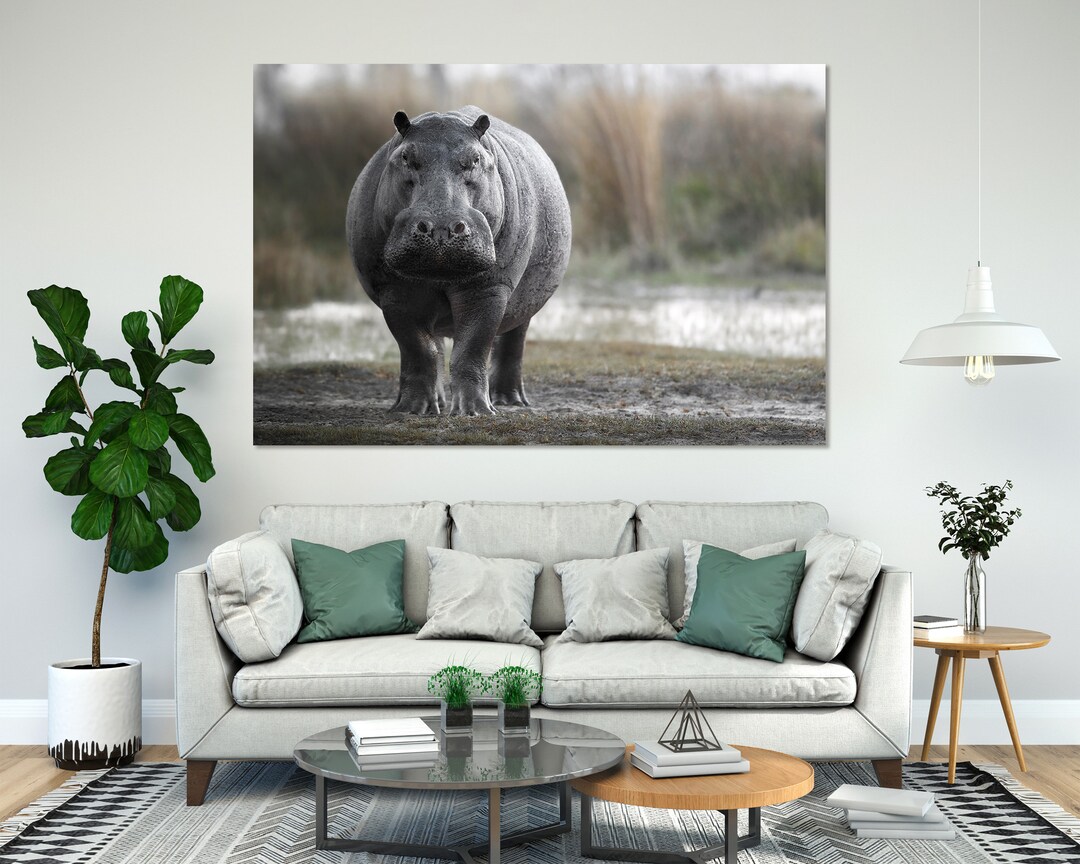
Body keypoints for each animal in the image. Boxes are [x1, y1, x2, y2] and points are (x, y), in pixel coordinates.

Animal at [346, 106, 571, 415]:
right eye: (406, 157)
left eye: (475, 159)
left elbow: (472, 348)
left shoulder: (489, 288)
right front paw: (411, 410)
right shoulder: (393, 291)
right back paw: (438, 404)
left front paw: (475, 411)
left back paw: (508, 400)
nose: (441, 227)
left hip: (525, 301)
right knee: (437, 345)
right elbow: (418, 349)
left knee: (514, 340)